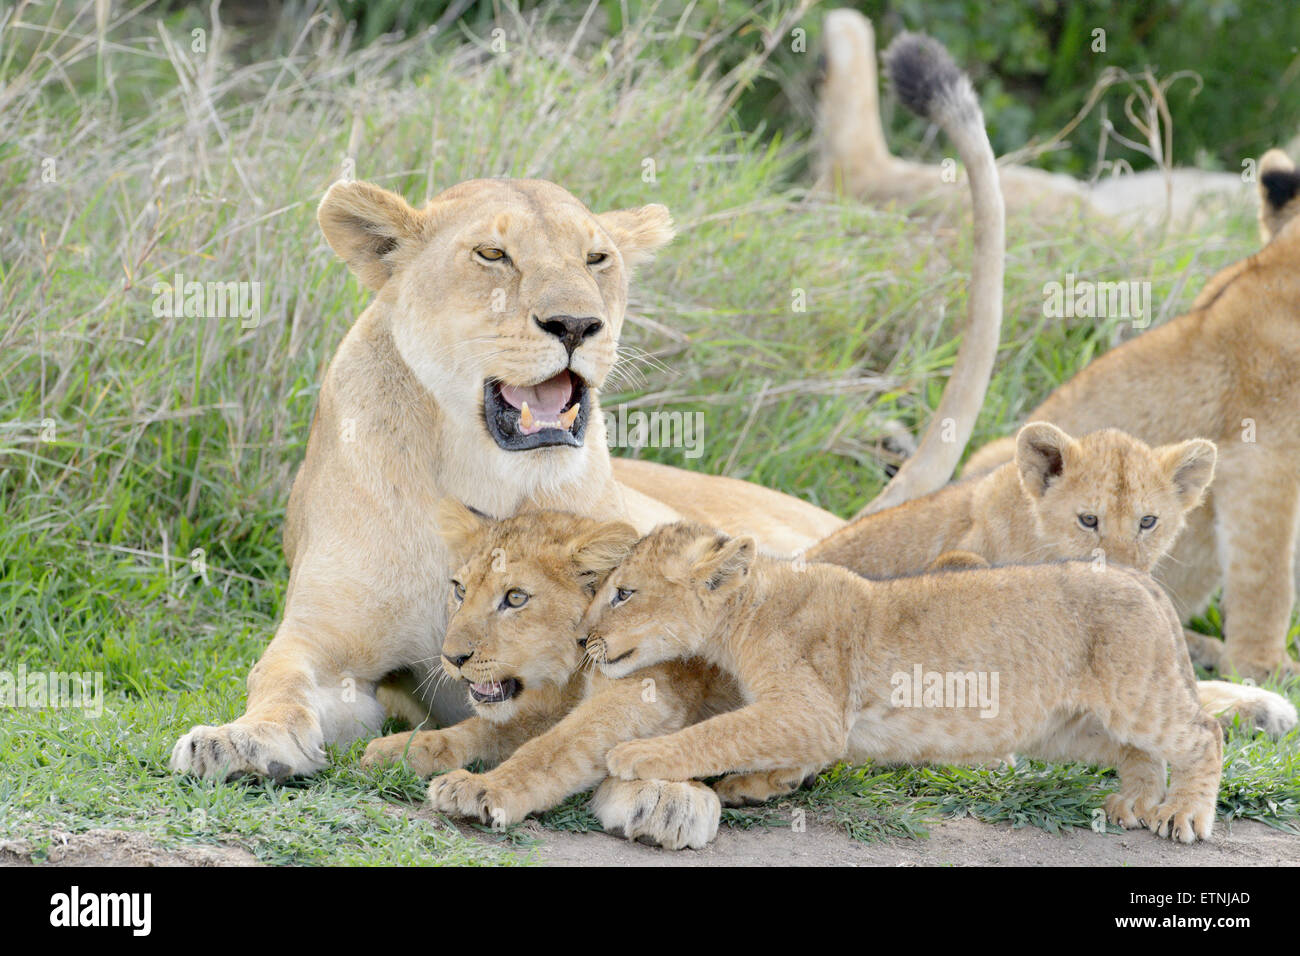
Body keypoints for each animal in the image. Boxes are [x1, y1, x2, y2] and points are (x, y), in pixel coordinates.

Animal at [170, 29, 1004, 780]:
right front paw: (237, 740)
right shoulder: (330, 645)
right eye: (493, 254)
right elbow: (279, 682)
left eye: (596, 257)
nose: (576, 324)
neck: (486, 471)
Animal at [582, 522, 1225, 843]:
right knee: (1138, 751)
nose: (582, 636)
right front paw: (759, 785)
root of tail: (1142, 580)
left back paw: (1183, 816)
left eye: (623, 593)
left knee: (1205, 733)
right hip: (1070, 727)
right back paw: (1134, 801)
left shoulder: (812, 709)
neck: (749, 608)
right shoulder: (815, 723)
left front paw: (637, 754)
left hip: (1136, 692)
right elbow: (775, 748)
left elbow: (718, 732)